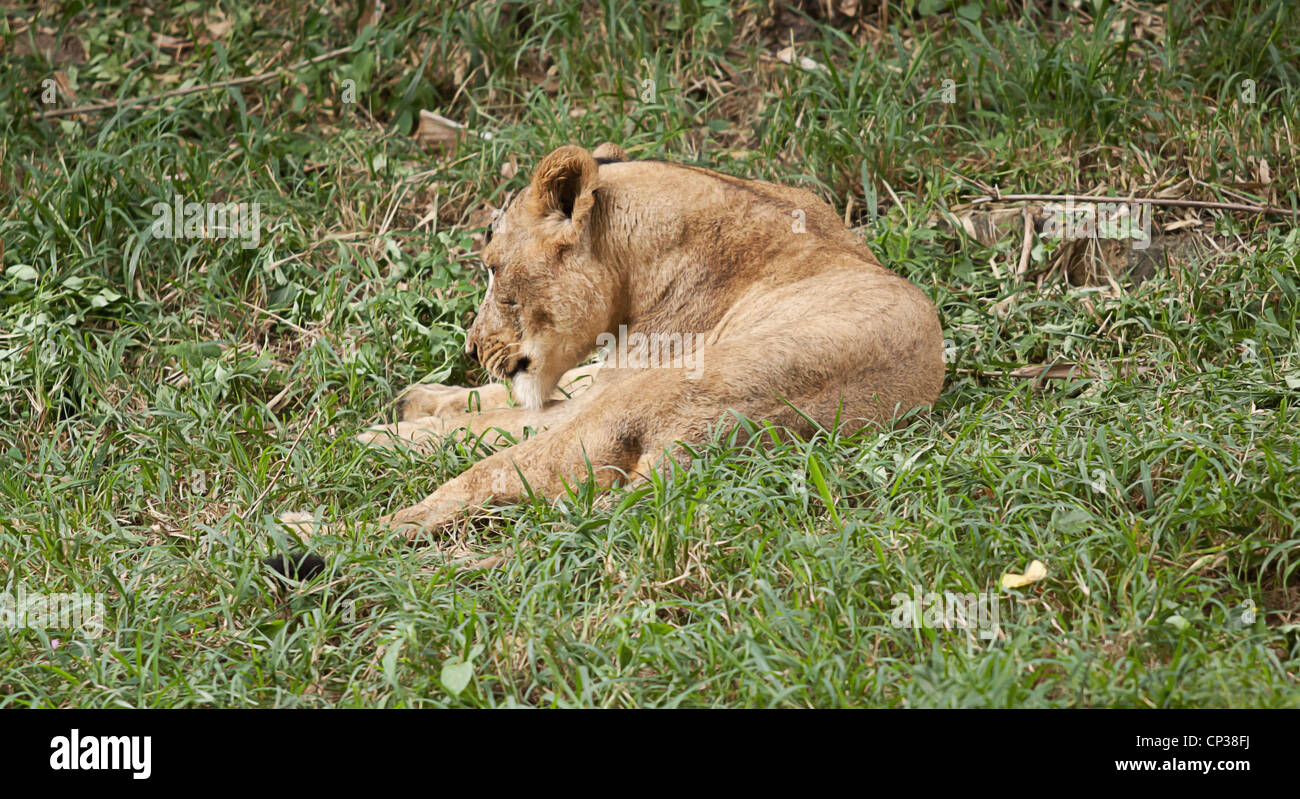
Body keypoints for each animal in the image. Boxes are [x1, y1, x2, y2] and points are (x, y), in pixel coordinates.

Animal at [356, 142, 945, 540]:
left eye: (494, 268)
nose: (472, 349)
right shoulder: (603, 371)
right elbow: (533, 389)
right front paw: (418, 399)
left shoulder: (606, 392)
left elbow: (491, 422)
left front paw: (385, 434)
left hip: (622, 412)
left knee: (481, 479)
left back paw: (350, 529)